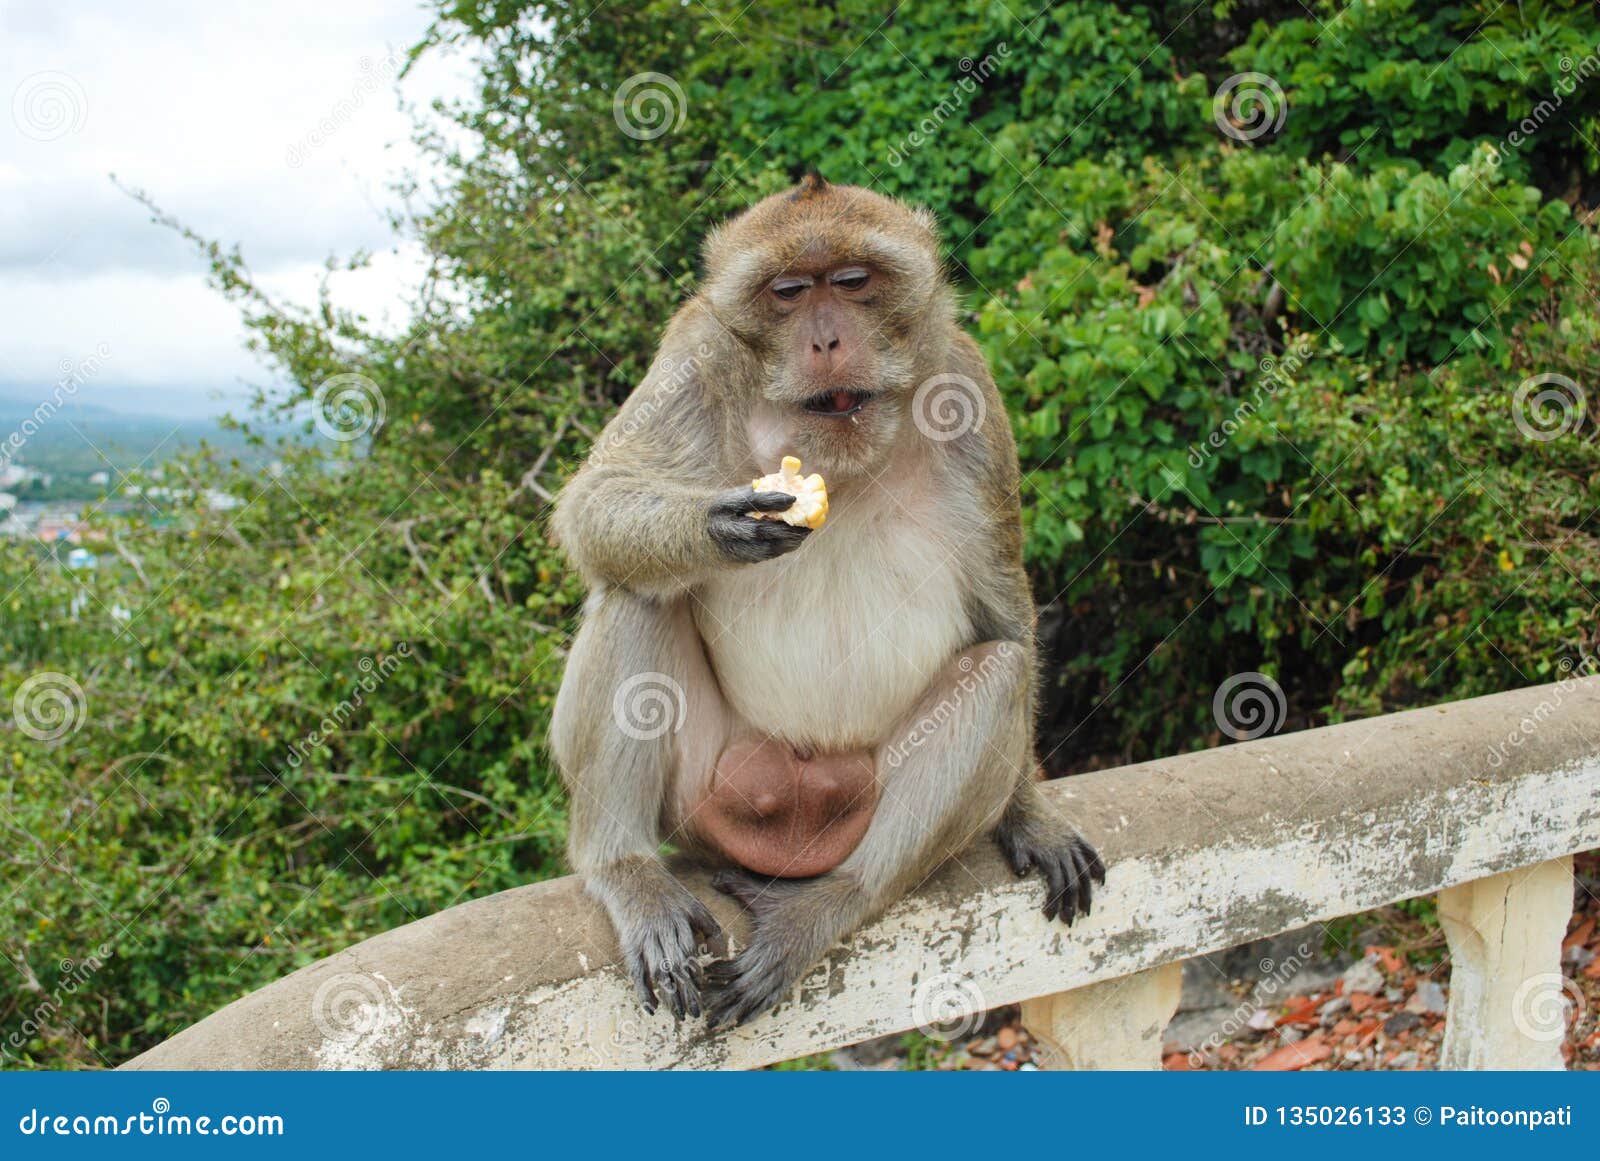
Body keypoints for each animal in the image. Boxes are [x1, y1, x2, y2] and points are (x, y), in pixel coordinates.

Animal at [549, 173, 1104, 1028]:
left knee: (1000, 668)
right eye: (786, 293)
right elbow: (597, 497)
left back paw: (832, 900)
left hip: (854, 804)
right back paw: (628, 871)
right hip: (709, 800)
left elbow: (1002, 605)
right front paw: (719, 527)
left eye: (850, 281)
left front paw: (1030, 812)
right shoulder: (694, 356)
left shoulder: (966, 381)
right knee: (638, 595)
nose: (826, 341)